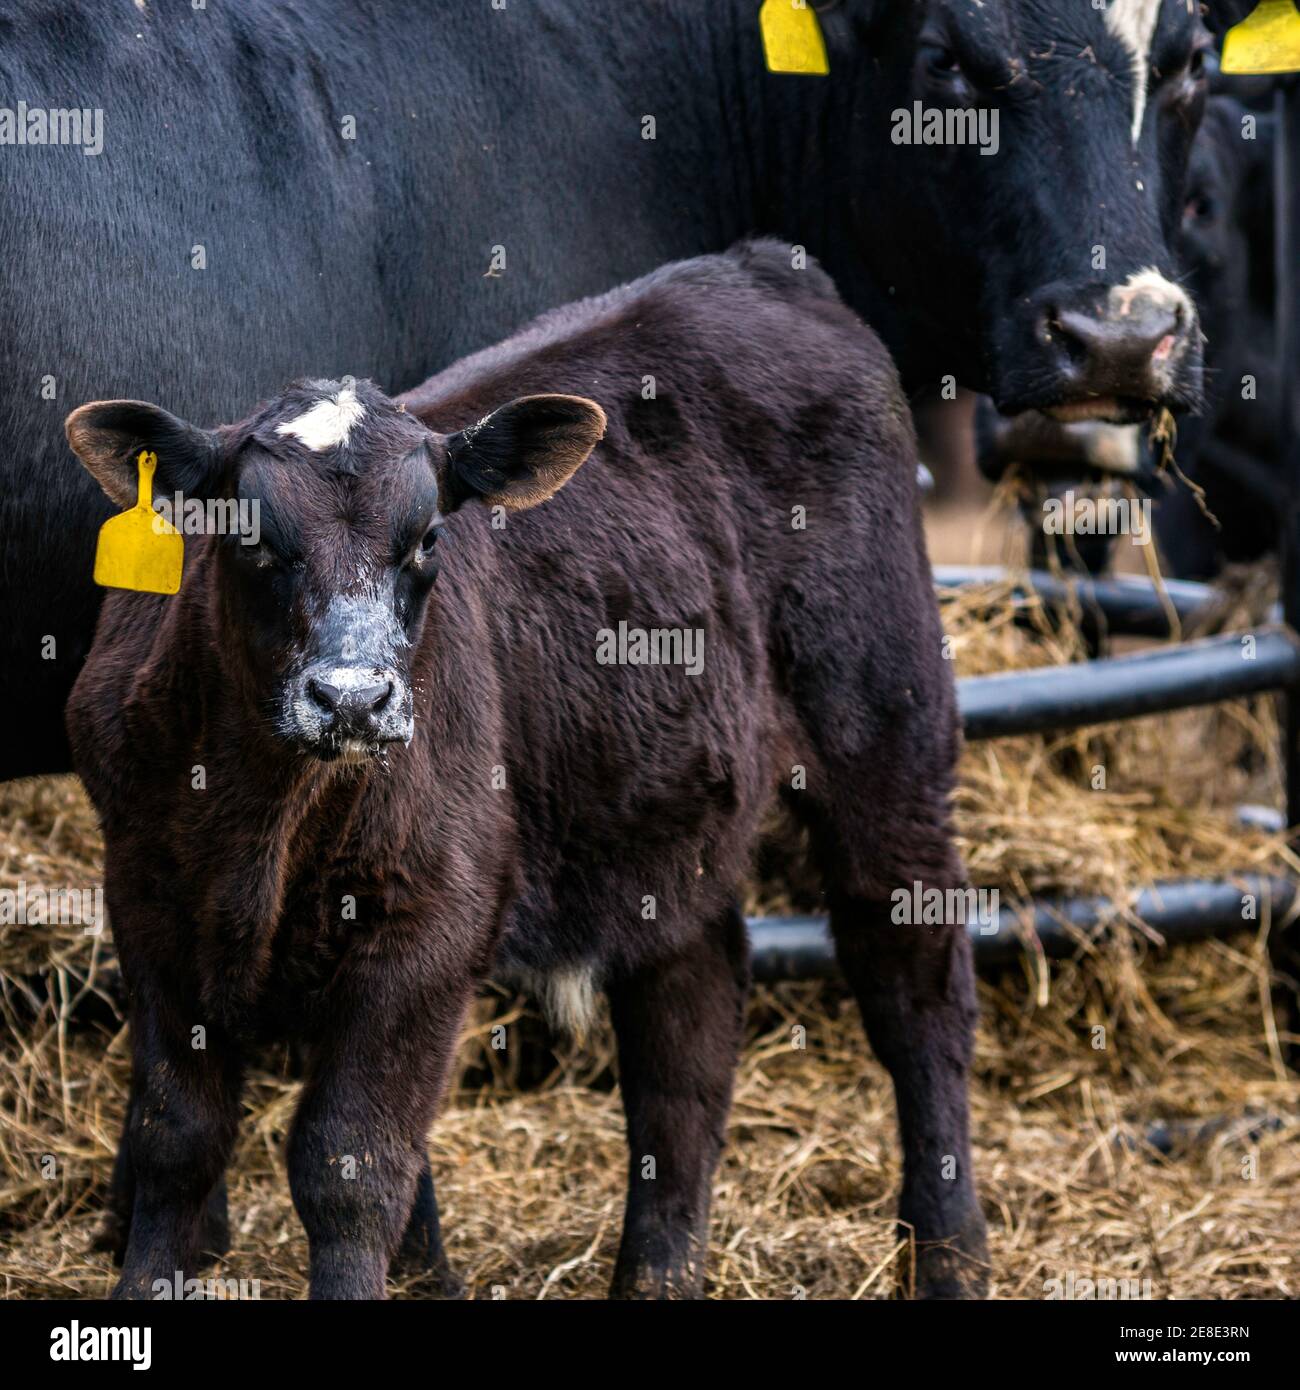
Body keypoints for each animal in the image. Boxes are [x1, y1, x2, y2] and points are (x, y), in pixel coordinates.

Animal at [63, 242, 985, 1300]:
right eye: (250, 537)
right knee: (687, 1022)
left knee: (914, 984)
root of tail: (757, 266)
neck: (265, 810)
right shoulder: (147, 898)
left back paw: (953, 1257)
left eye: (427, 538)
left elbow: (349, 1162)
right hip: (667, 811)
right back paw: (658, 1273)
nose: (353, 700)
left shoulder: (434, 920)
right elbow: (174, 1137)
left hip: (889, 734)